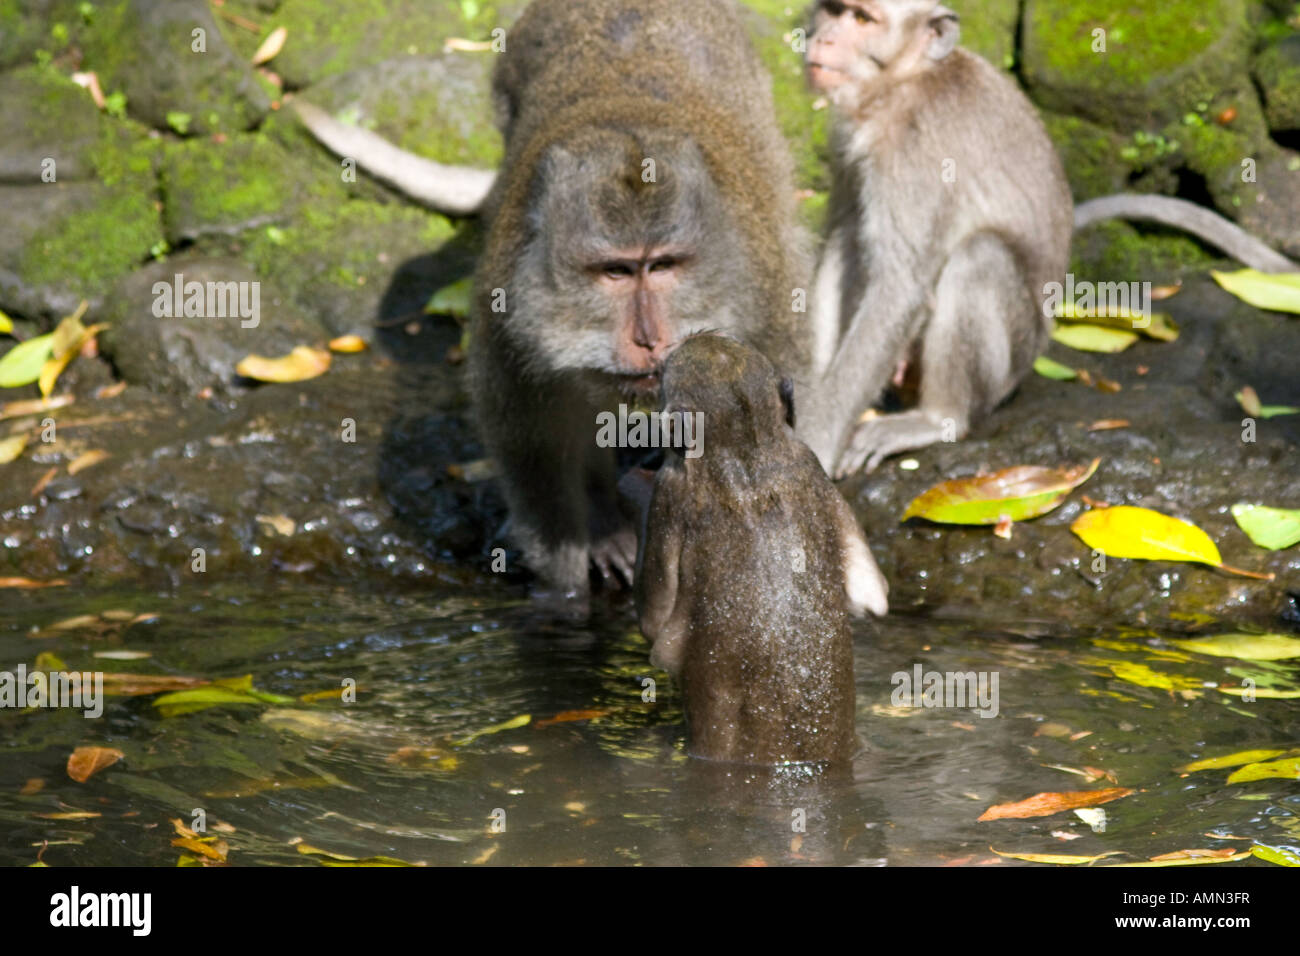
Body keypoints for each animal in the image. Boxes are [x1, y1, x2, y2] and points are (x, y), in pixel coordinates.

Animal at [296, 0, 810, 601]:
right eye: (616, 271)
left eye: (662, 266)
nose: (648, 339)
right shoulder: (507, 321)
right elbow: (536, 456)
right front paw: (567, 594)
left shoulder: (766, 294)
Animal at [794, 0, 1299, 478]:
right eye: (834, 10)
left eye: (863, 19)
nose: (823, 39)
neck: (904, 83)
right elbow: (840, 237)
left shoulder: (914, 148)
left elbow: (900, 288)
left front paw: (817, 441)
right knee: (852, 241)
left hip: (1013, 359)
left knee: (980, 256)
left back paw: (939, 418)